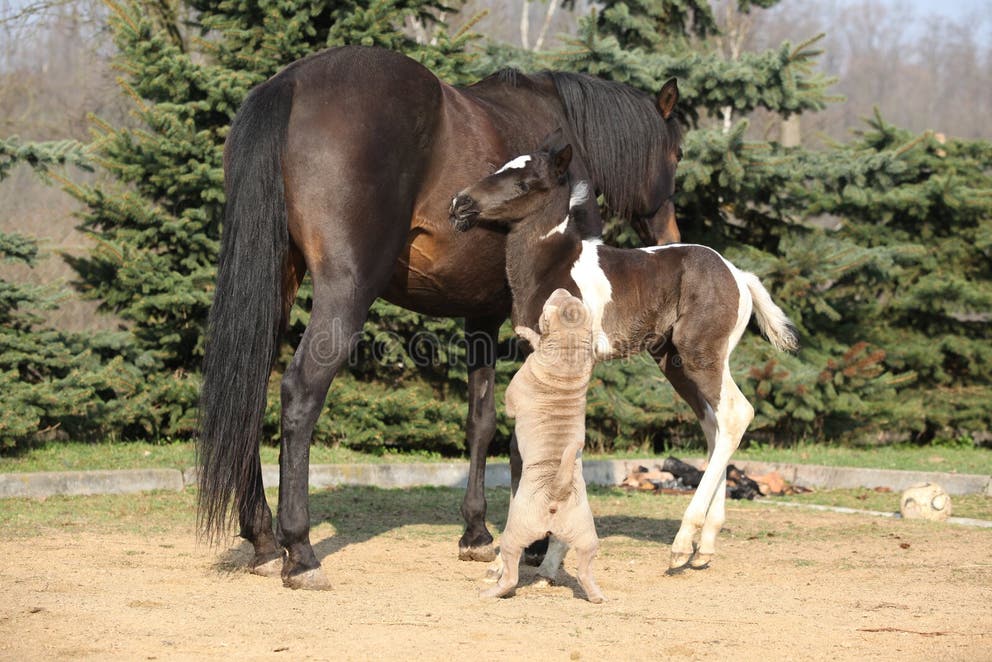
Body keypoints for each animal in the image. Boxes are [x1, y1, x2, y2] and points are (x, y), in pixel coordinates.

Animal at [197, 45, 684, 589]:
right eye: (678, 154)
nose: (670, 234)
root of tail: (292, 82)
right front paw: (536, 541)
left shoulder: (482, 319)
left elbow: (483, 420)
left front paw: (476, 531)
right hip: (345, 292)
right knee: (300, 392)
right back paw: (299, 552)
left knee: (250, 390)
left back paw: (262, 540)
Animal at [448, 132, 799, 573]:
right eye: (500, 168)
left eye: (525, 183)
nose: (459, 204)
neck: (551, 267)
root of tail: (739, 275)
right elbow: (522, 446)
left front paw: (547, 554)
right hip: (674, 361)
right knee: (714, 424)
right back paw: (704, 547)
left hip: (701, 354)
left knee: (736, 414)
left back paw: (683, 542)